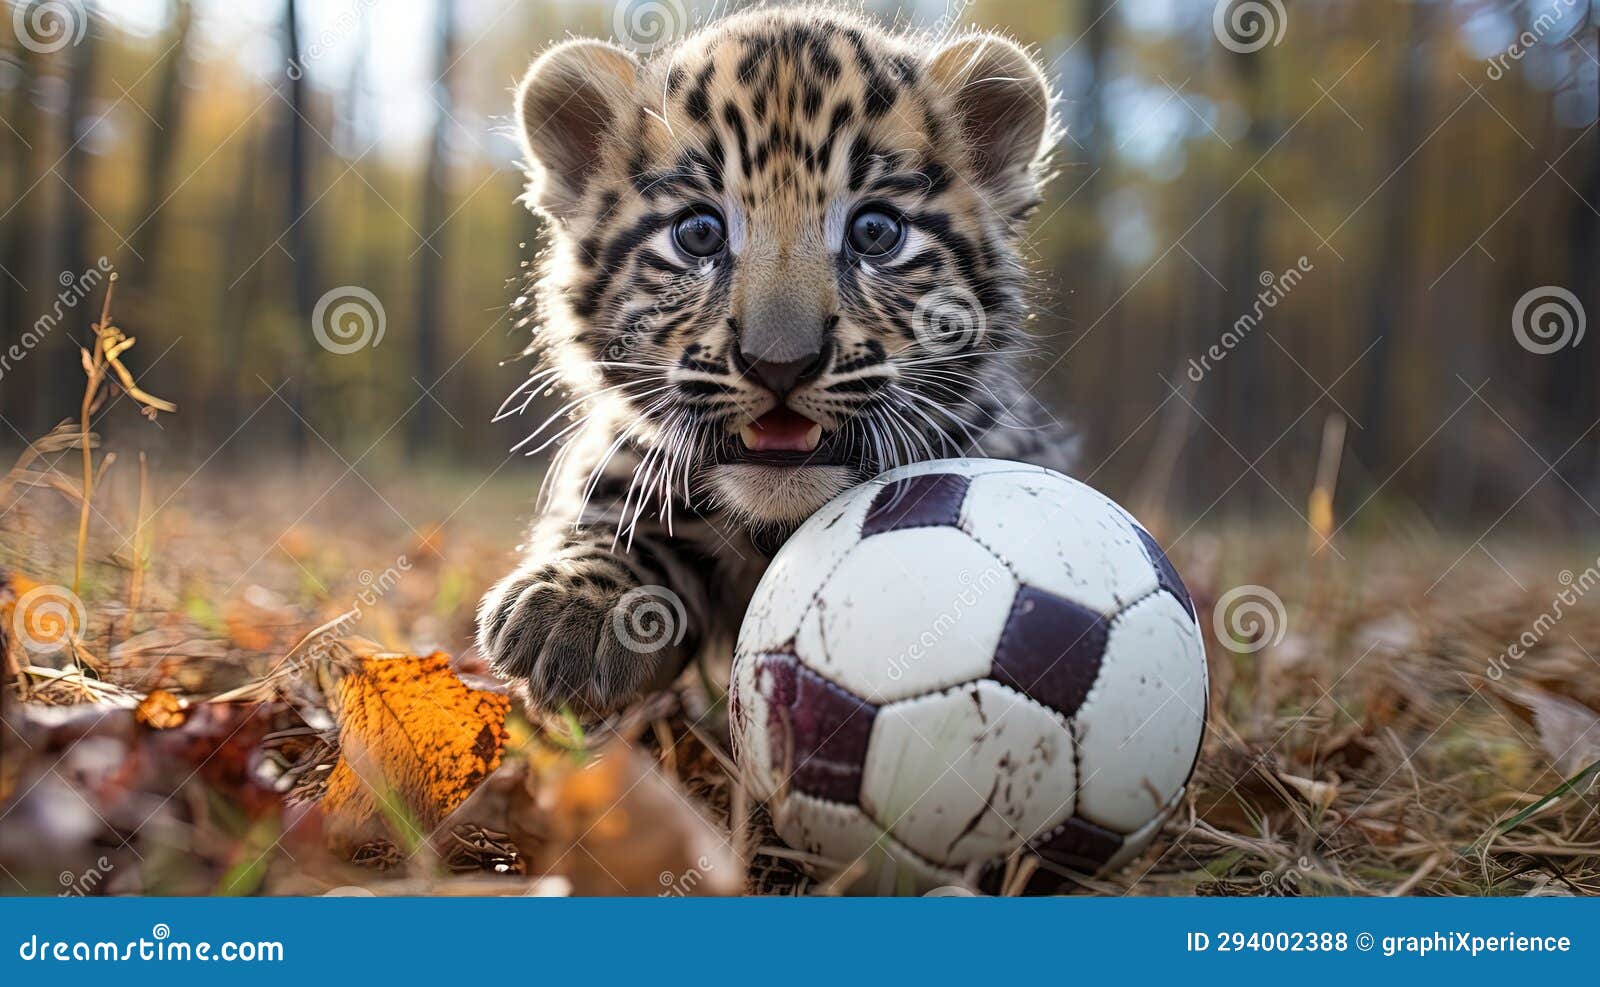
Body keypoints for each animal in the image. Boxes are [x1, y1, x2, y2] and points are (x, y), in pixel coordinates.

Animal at [477, 3, 1078, 720]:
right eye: (698, 234)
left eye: (876, 232)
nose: (780, 363)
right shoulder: (626, 460)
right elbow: (610, 523)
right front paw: (569, 606)